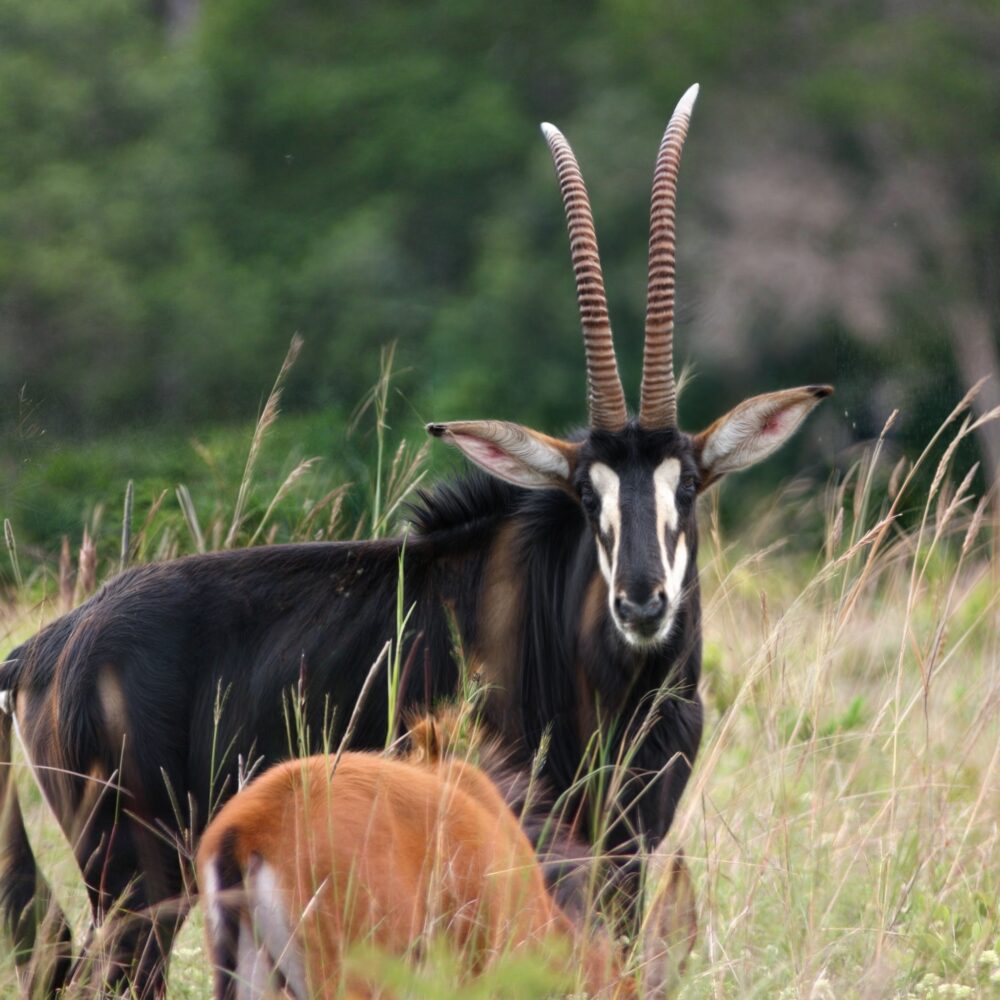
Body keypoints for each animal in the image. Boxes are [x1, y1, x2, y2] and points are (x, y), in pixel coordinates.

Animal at [0, 83, 830, 998]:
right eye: (586, 493)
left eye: (688, 484)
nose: (642, 601)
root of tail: (46, 651)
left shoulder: (628, 846)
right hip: (136, 882)